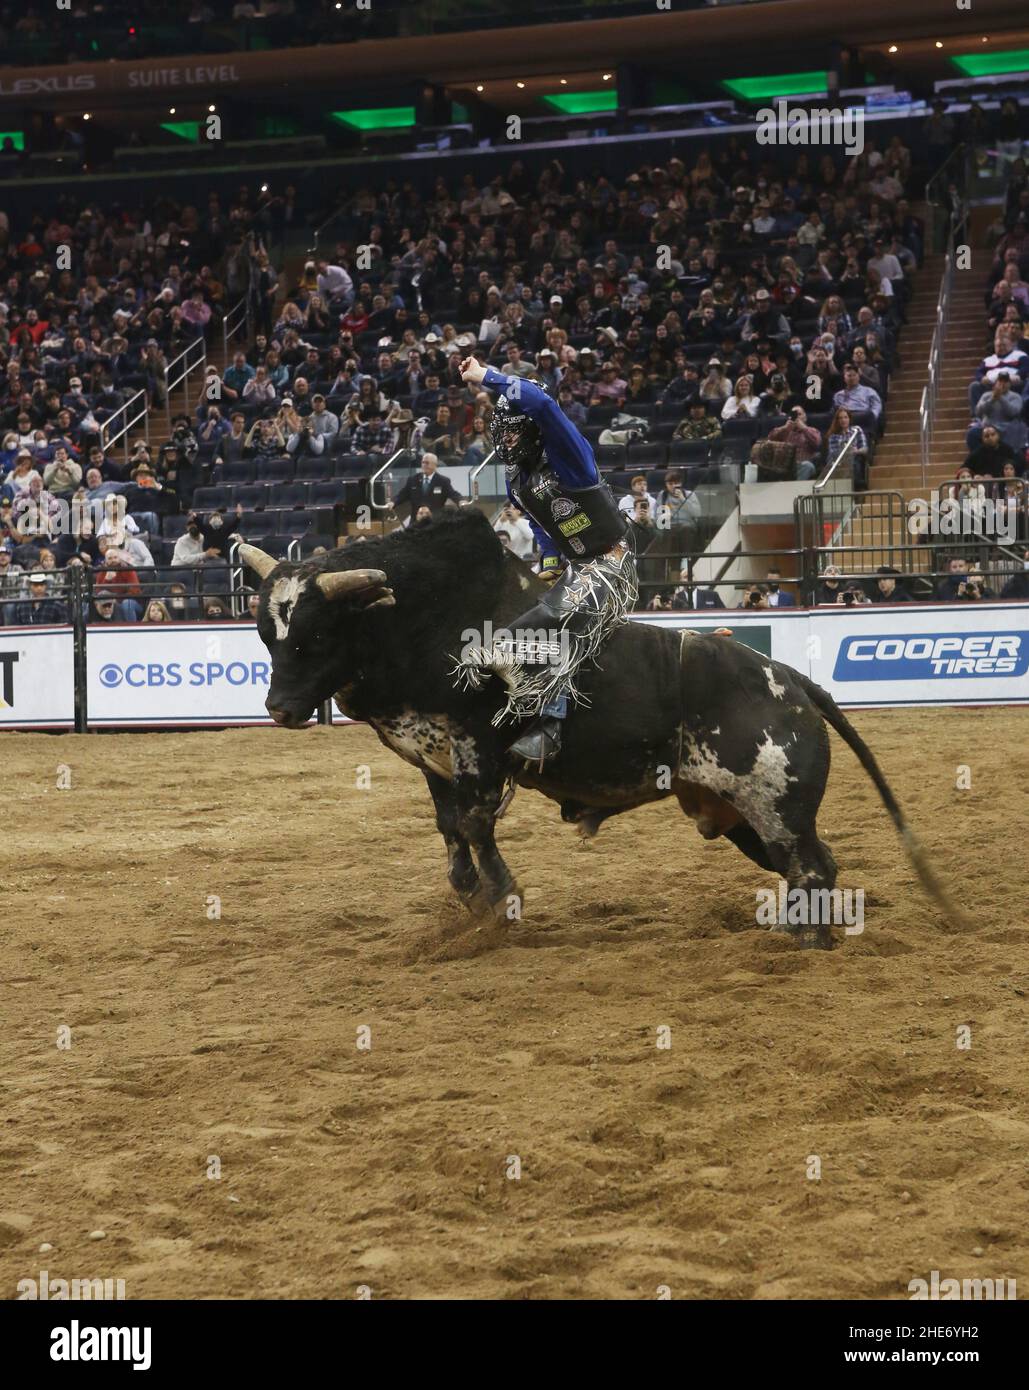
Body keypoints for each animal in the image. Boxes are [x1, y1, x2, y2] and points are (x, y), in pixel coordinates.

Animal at [240, 509, 964, 949]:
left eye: (315, 635)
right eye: (267, 636)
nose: (279, 708)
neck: (421, 620)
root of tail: (789, 678)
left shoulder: (476, 748)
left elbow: (475, 823)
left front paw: (502, 899)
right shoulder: (435, 758)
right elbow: (451, 829)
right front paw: (471, 896)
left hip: (774, 801)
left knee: (811, 865)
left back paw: (805, 943)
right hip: (743, 814)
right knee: (810, 866)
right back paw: (794, 933)